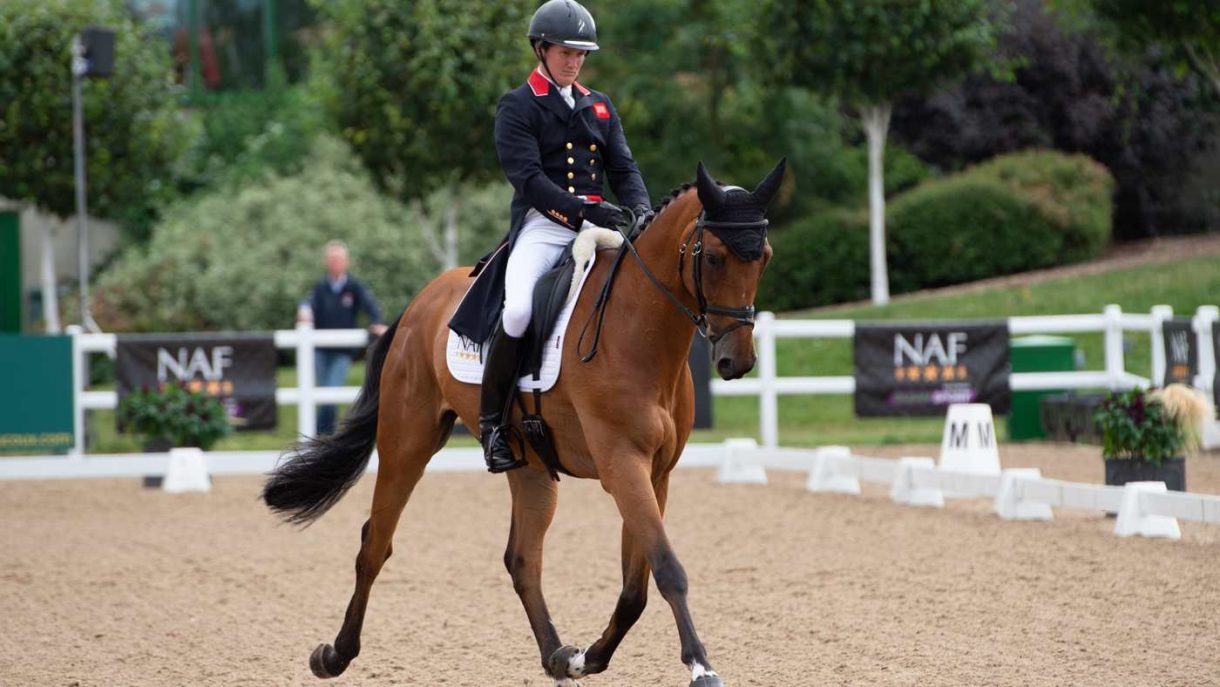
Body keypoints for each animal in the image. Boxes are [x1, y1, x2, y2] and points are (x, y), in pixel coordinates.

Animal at [263, 158, 786, 687]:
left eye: (763, 257)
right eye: (714, 257)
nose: (736, 360)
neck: (639, 330)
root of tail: (419, 304)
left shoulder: (655, 473)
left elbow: (634, 588)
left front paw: (586, 658)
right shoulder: (622, 464)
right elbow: (667, 568)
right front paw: (701, 666)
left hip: (531, 467)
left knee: (522, 559)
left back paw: (556, 655)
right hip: (406, 442)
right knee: (375, 543)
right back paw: (335, 655)